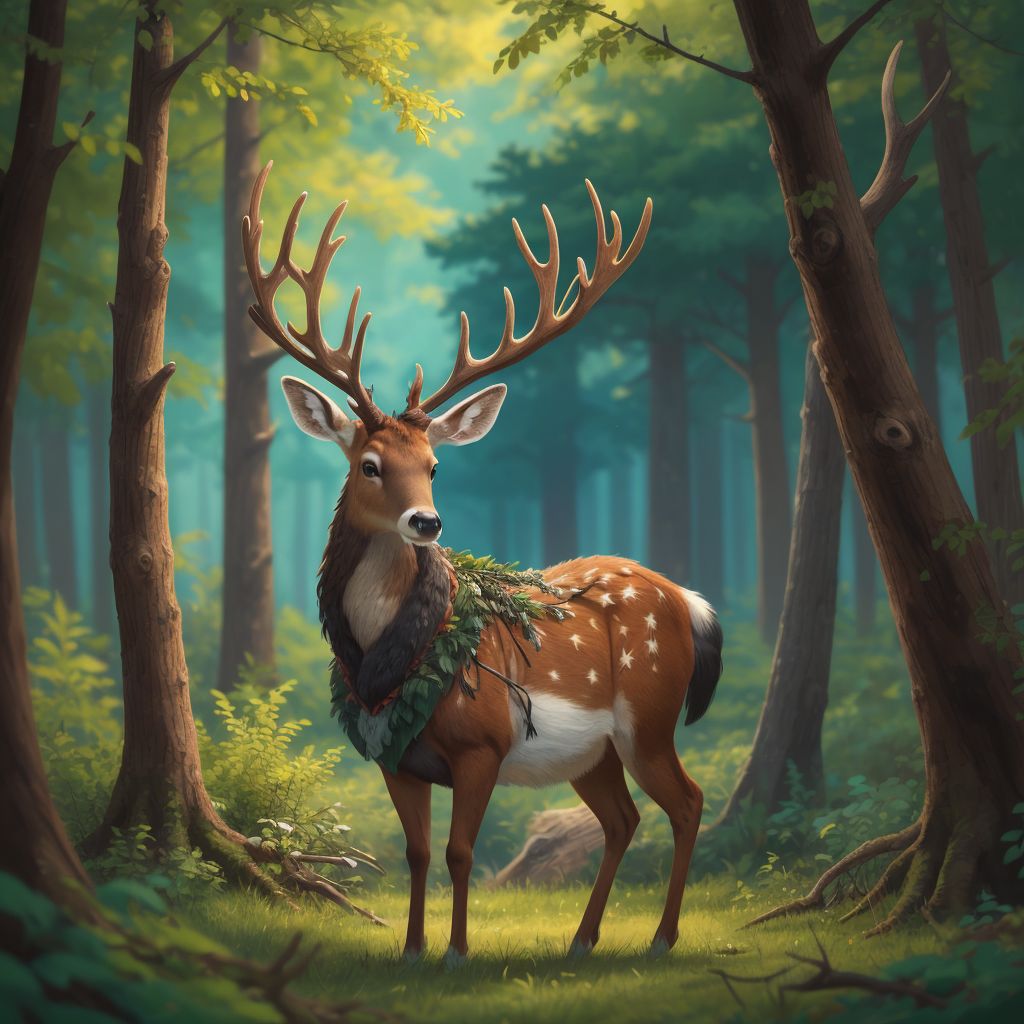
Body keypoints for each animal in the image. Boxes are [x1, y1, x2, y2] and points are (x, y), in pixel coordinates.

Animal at [242, 161, 723, 966]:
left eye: (435, 466)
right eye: (369, 464)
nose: (427, 522)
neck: (397, 659)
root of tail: (687, 599)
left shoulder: (485, 744)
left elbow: (460, 852)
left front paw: (457, 953)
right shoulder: (395, 759)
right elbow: (416, 854)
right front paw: (411, 950)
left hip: (650, 715)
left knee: (687, 802)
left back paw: (660, 937)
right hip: (594, 752)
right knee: (622, 818)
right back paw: (582, 939)